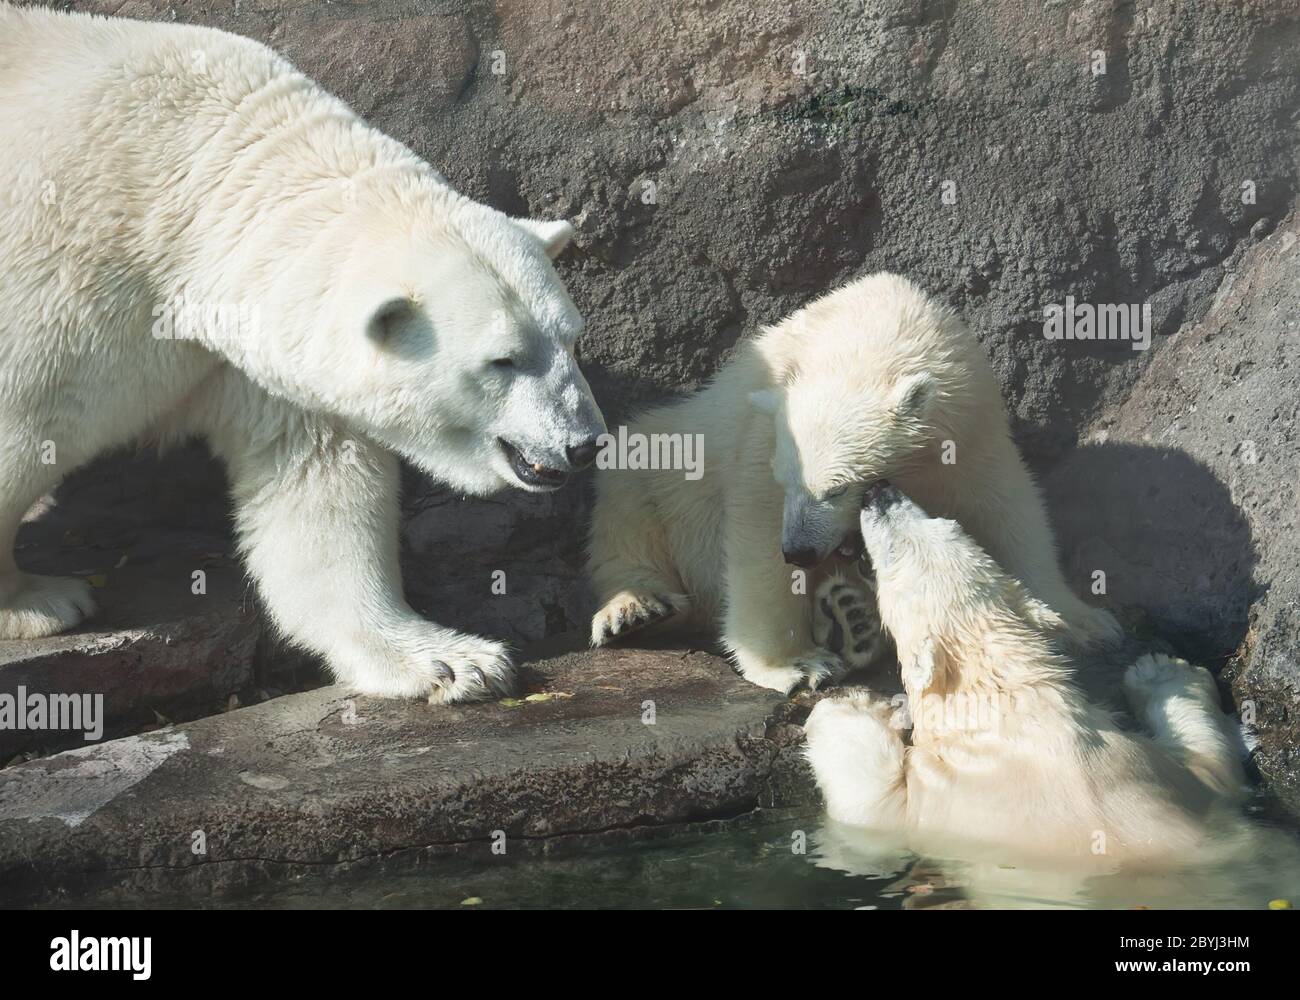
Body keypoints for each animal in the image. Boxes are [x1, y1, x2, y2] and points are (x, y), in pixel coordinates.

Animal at [0, 6, 605, 703]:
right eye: (503, 360)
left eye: (570, 338)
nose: (584, 443)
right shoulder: (65, 274)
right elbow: (26, 427)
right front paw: (36, 600)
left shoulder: (254, 347)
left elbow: (318, 485)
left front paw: (450, 660)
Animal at [587, 271, 1119, 694]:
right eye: (789, 484)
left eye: (838, 488)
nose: (799, 551)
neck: (873, 332)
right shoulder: (763, 438)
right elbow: (756, 539)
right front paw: (795, 664)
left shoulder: (967, 428)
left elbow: (1009, 509)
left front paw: (1081, 621)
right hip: (671, 460)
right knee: (628, 499)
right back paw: (634, 609)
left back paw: (853, 617)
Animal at [803, 482, 1250, 866]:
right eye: (948, 522)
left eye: (893, 553)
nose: (880, 491)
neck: (1013, 704)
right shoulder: (1160, 776)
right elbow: (1212, 766)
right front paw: (1165, 671)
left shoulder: (949, 807)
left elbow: (875, 807)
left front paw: (847, 707)